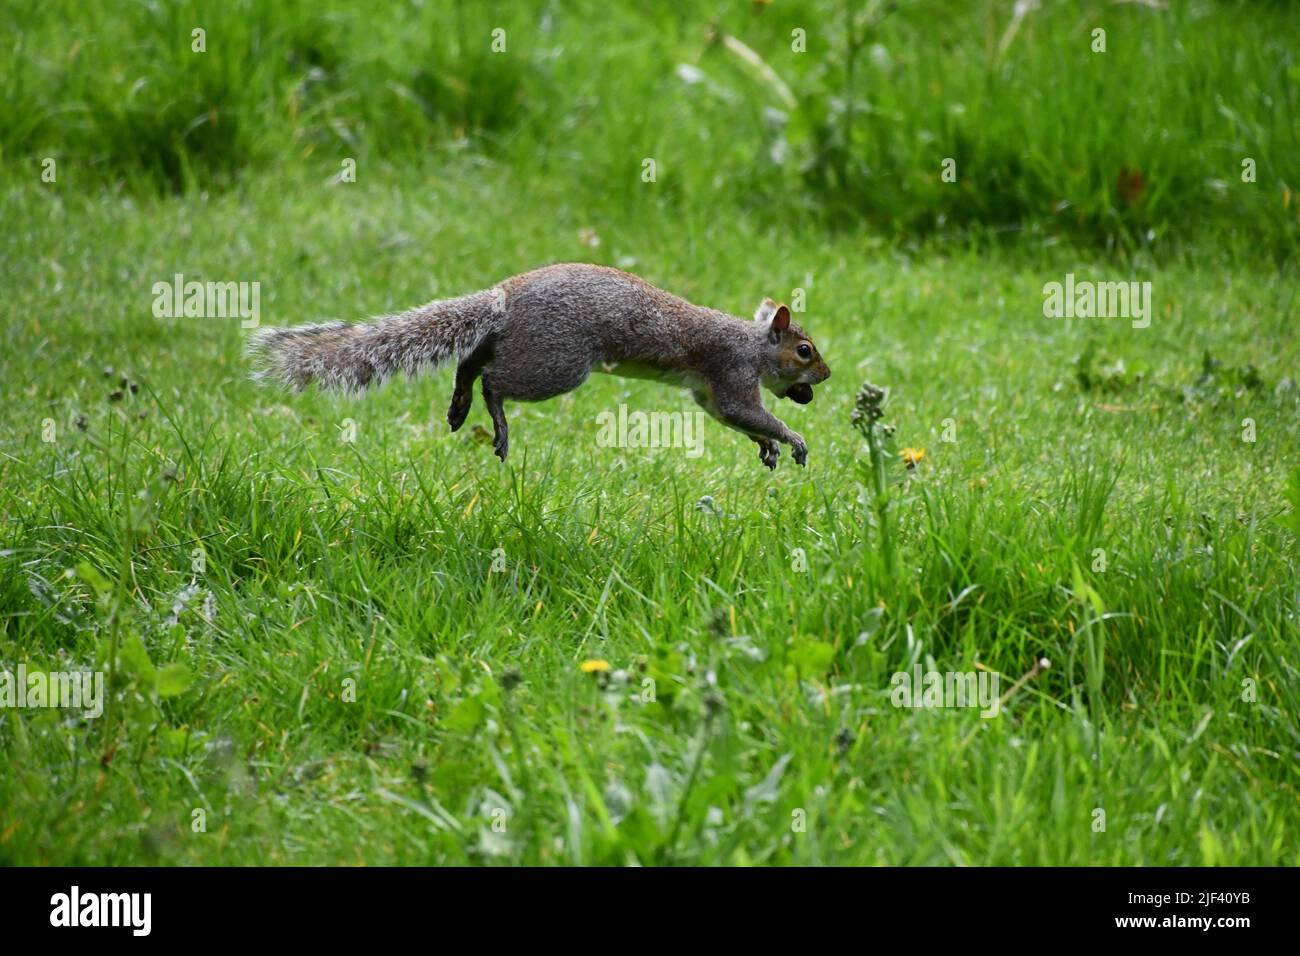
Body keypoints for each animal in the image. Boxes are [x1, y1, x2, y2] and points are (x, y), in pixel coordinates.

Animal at [248, 263, 830, 469]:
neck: (753, 344)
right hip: (559, 362)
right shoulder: (730, 372)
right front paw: (792, 439)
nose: (825, 377)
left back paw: (458, 407)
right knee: (493, 378)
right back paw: (493, 418)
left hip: (526, 345)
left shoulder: (707, 393)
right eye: (805, 350)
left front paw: (767, 447)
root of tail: (506, 295)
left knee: (470, 359)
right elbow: (746, 410)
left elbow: (733, 418)